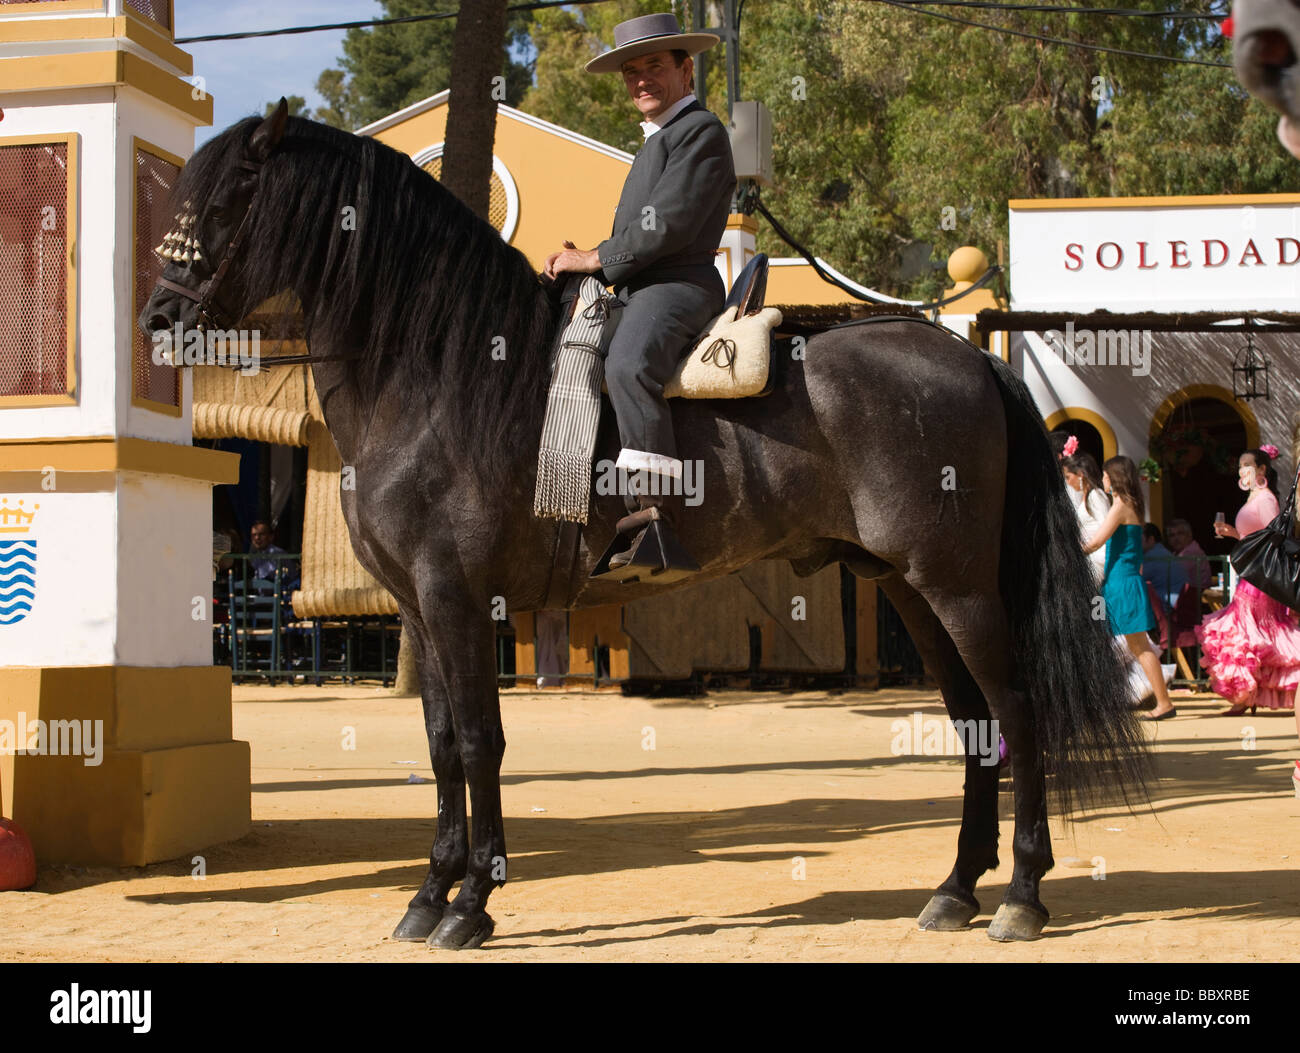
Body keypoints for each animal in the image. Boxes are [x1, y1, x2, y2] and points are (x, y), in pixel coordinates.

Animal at [140, 101, 1149, 950]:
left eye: (229, 201)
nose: (157, 316)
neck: (441, 376)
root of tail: (965, 356)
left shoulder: (459, 600)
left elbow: (477, 741)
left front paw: (470, 905)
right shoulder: (419, 611)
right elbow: (438, 744)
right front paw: (429, 895)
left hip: (957, 585)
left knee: (1016, 709)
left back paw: (1021, 895)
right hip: (908, 587)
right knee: (976, 721)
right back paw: (955, 888)